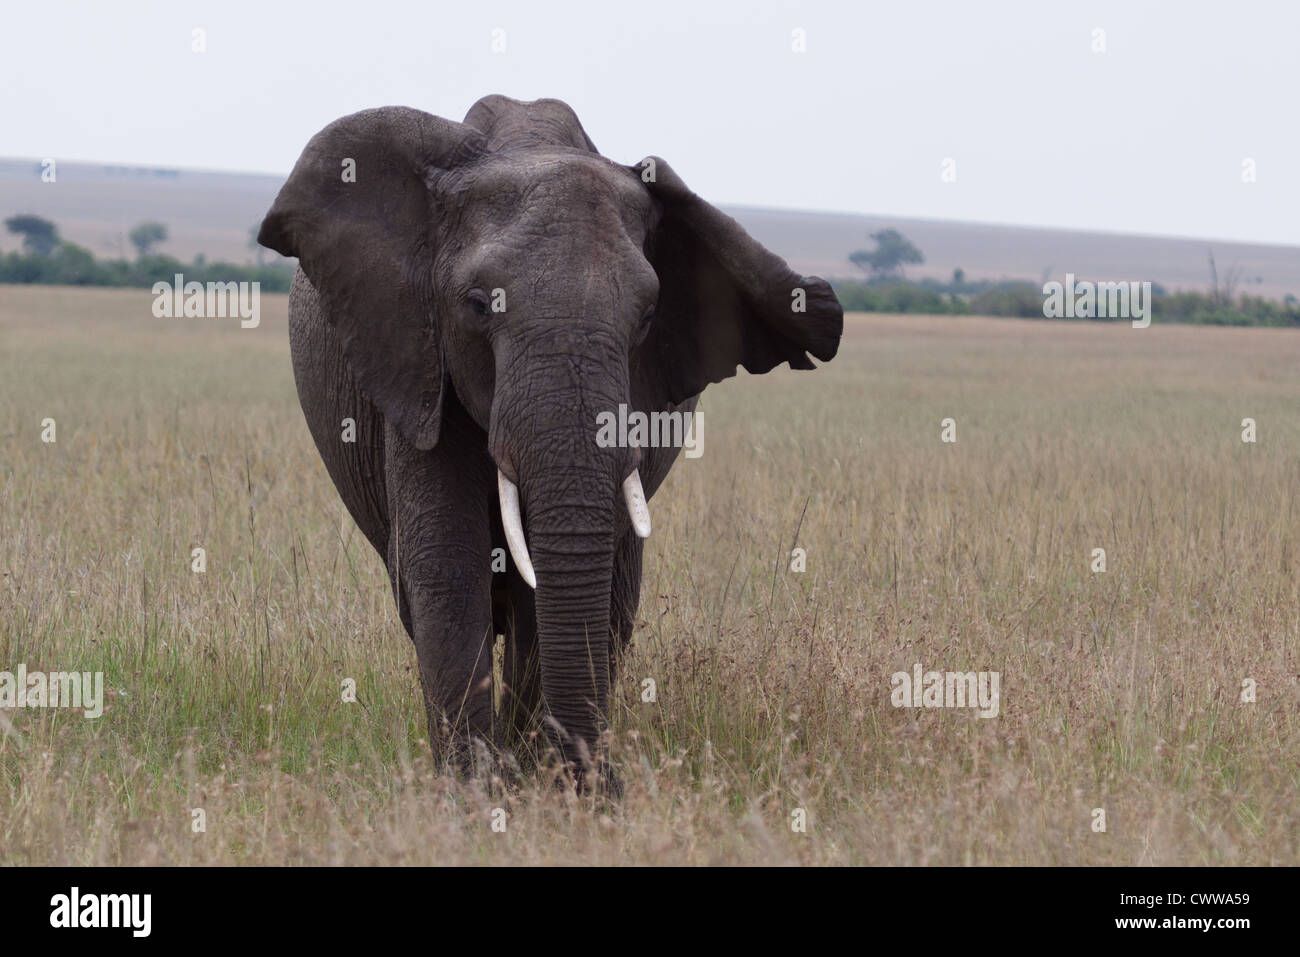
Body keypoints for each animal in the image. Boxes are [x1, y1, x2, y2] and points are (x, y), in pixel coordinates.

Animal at [258, 95, 842, 786]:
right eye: (478, 305)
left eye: (648, 317)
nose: (607, 788)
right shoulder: (418, 367)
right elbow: (446, 568)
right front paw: (476, 793)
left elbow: (556, 592)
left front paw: (538, 786)